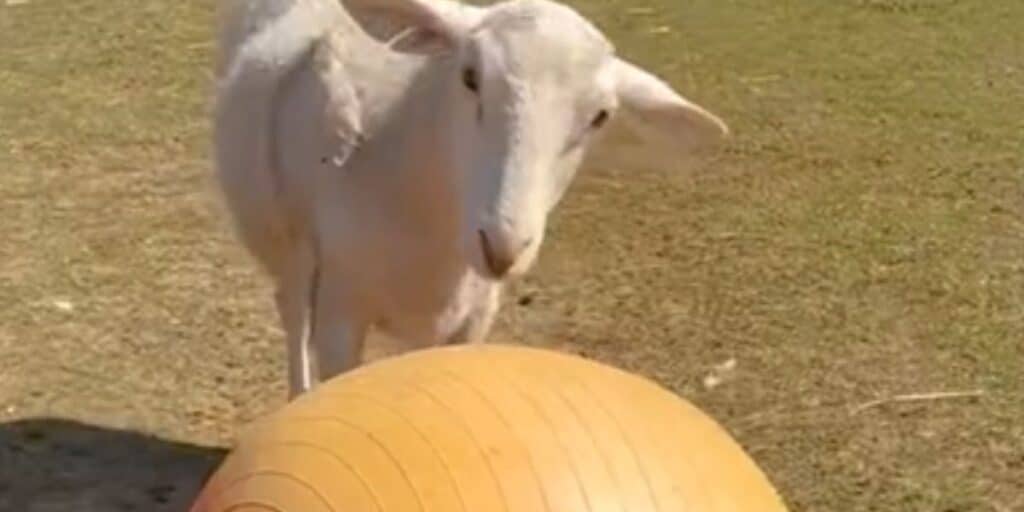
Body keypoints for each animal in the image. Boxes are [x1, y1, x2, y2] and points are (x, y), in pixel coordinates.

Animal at [213, 0, 729, 399]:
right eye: (470, 77)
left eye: (601, 116)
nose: (502, 245)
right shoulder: (341, 307)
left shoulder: (474, 316)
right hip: (287, 246)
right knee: (292, 310)